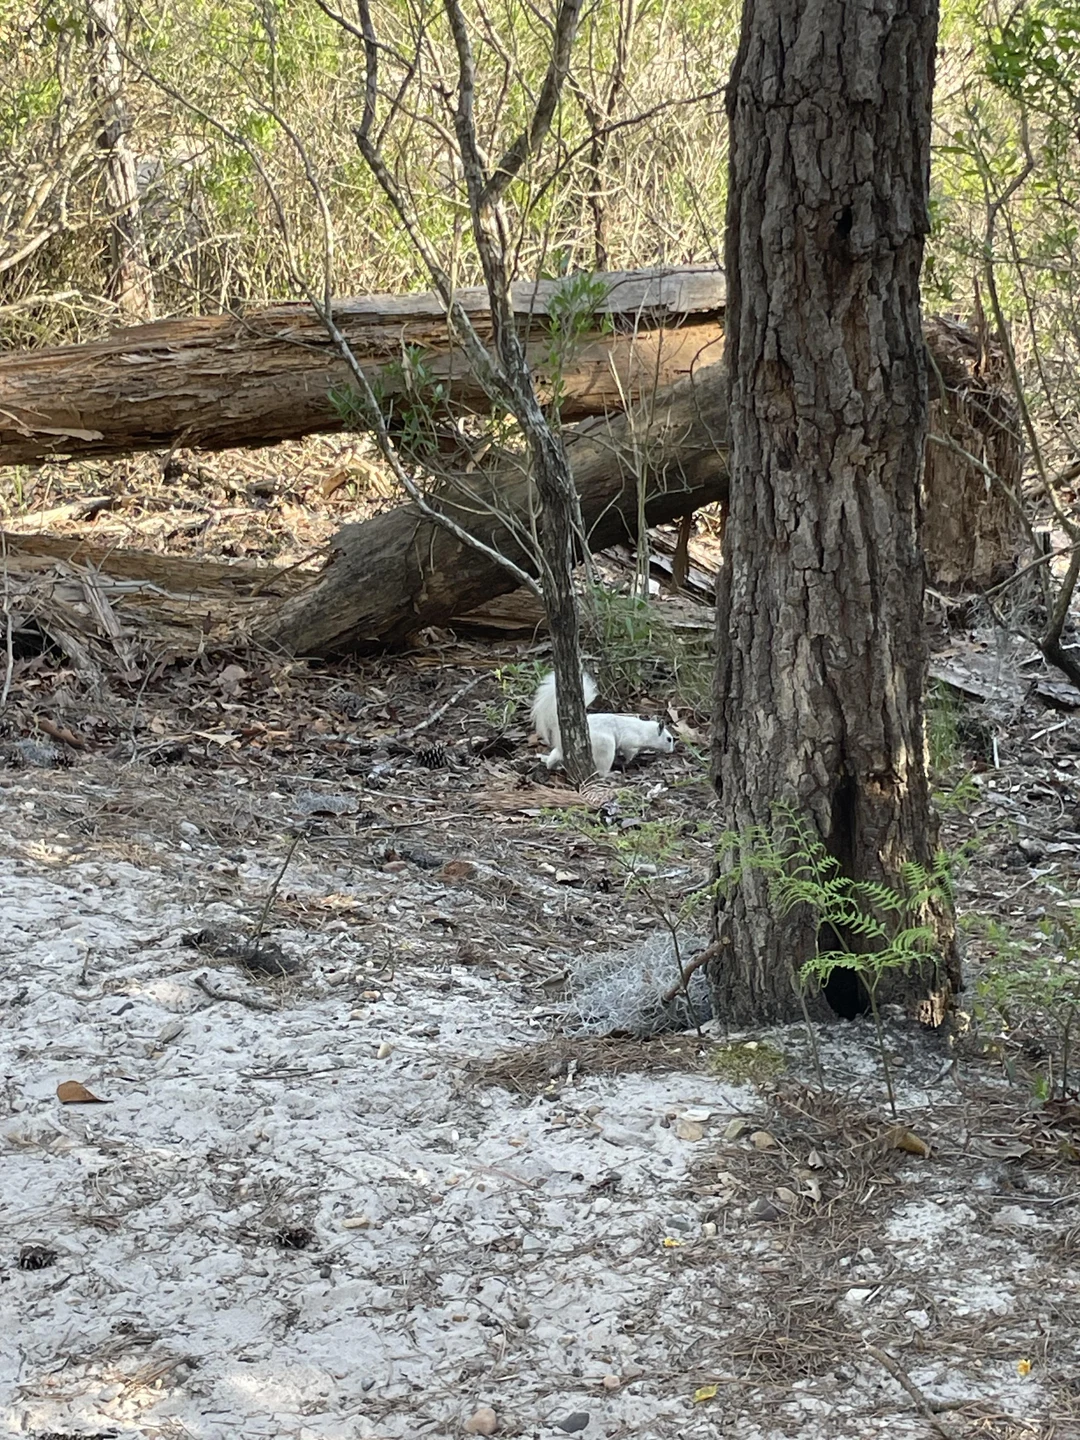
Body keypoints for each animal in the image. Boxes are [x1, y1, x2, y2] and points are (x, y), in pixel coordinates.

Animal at [530, 670, 676, 778]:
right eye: (669, 739)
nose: (671, 751)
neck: (645, 731)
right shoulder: (630, 742)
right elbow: (629, 753)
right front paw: (626, 762)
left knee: (554, 756)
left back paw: (553, 765)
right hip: (605, 747)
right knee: (602, 770)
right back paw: (611, 774)